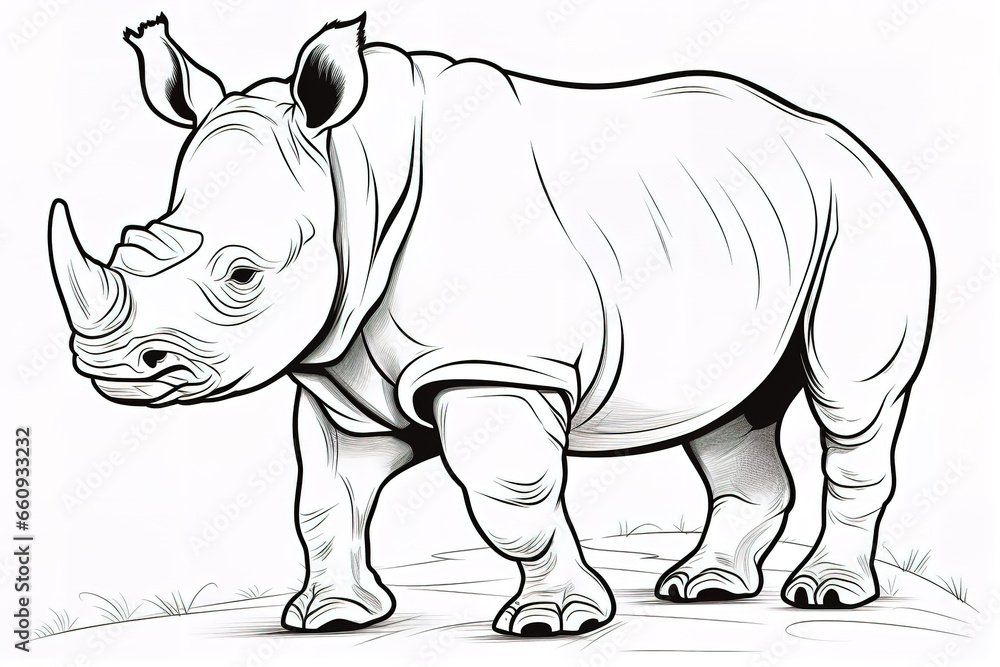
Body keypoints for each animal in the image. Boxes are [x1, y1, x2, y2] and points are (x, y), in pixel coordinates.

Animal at [50, 14, 934, 636]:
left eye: (242, 275)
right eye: (131, 240)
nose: (112, 367)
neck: (355, 178)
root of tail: (840, 135)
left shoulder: (495, 363)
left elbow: (507, 491)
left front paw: (554, 622)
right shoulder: (339, 373)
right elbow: (325, 496)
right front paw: (331, 618)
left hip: (863, 209)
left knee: (849, 401)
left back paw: (825, 595)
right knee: (730, 414)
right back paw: (703, 588)